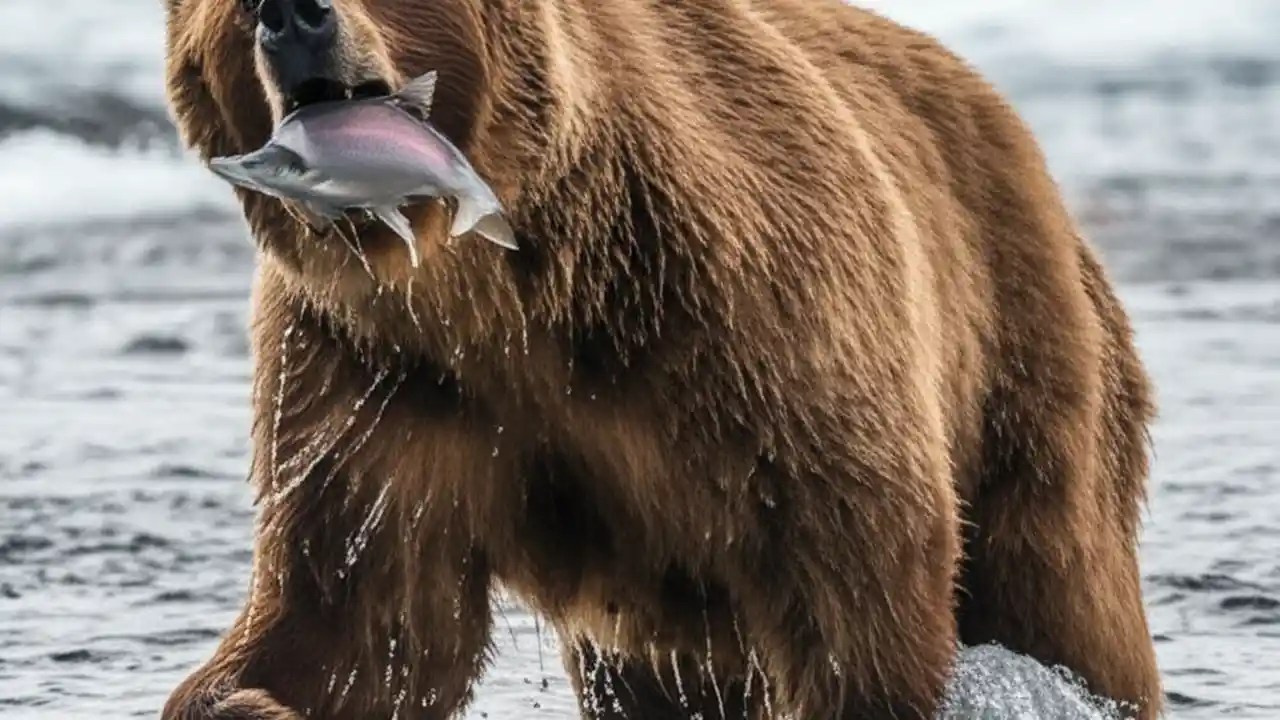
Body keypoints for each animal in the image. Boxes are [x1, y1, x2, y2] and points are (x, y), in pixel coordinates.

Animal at [160, 0, 1162, 718]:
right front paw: (243, 699)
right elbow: (360, 620)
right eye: (231, 4)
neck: (505, 292)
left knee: (1065, 593)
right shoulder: (375, 374)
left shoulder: (743, 314)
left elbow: (859, 561)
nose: (292, 13)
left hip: (1022, 347)